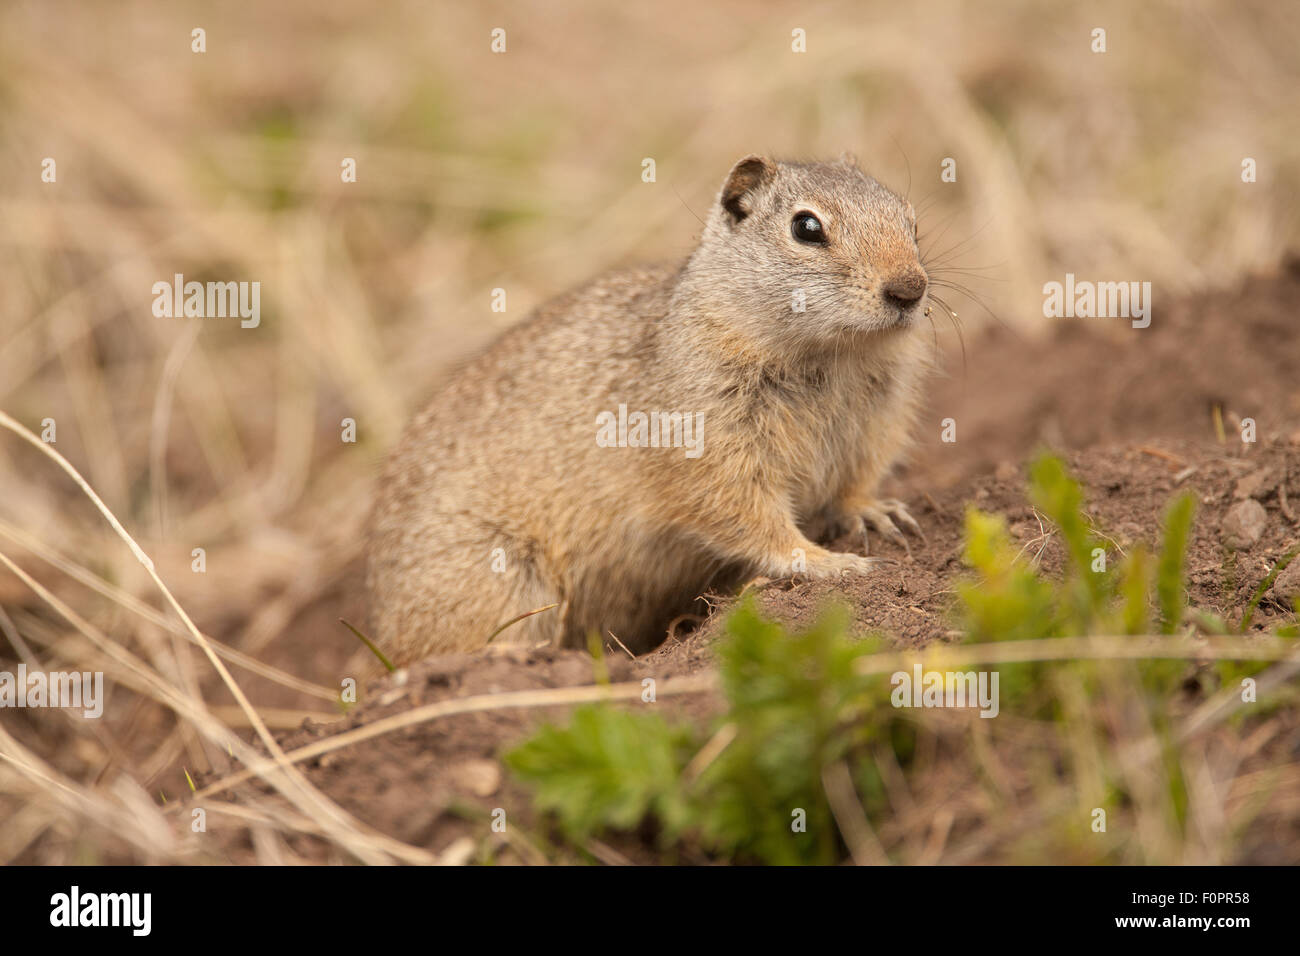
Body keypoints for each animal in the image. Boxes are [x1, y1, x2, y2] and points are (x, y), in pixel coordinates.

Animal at [369, 157, 935, 665]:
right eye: (807, 227)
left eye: (911, 220)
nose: (910, 289)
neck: (832, 356)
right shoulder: (707, 450)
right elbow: (752, 519)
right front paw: (831, 563)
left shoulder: (875, 427)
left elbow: (854, 482)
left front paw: (878, 512)